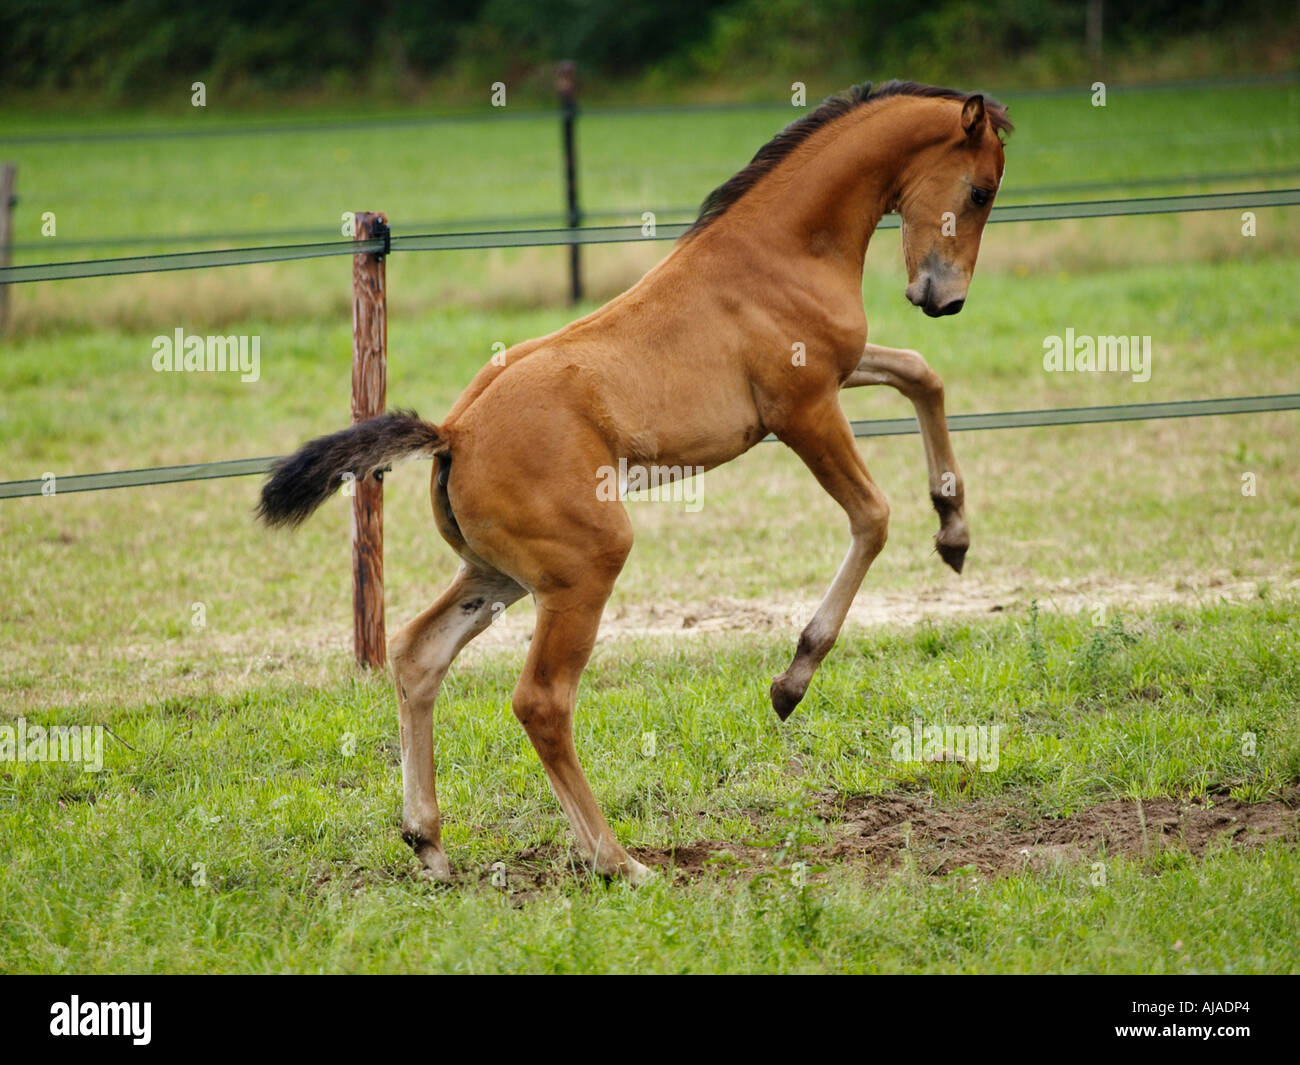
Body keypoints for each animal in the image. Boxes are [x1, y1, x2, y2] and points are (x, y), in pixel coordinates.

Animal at [258, 81, 1012, 884]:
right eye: (980, 189)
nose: (943, 299)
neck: (779, 251)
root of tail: (452, 434)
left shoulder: (844, 370)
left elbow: (922, 375)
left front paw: (954, 532)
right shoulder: (803, 408)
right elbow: (872, 515)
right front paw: (792, 680)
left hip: (500, 573)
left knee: (416, 654)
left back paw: (429, 843)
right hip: (586, 564)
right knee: (540, 700)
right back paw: (617, 860)